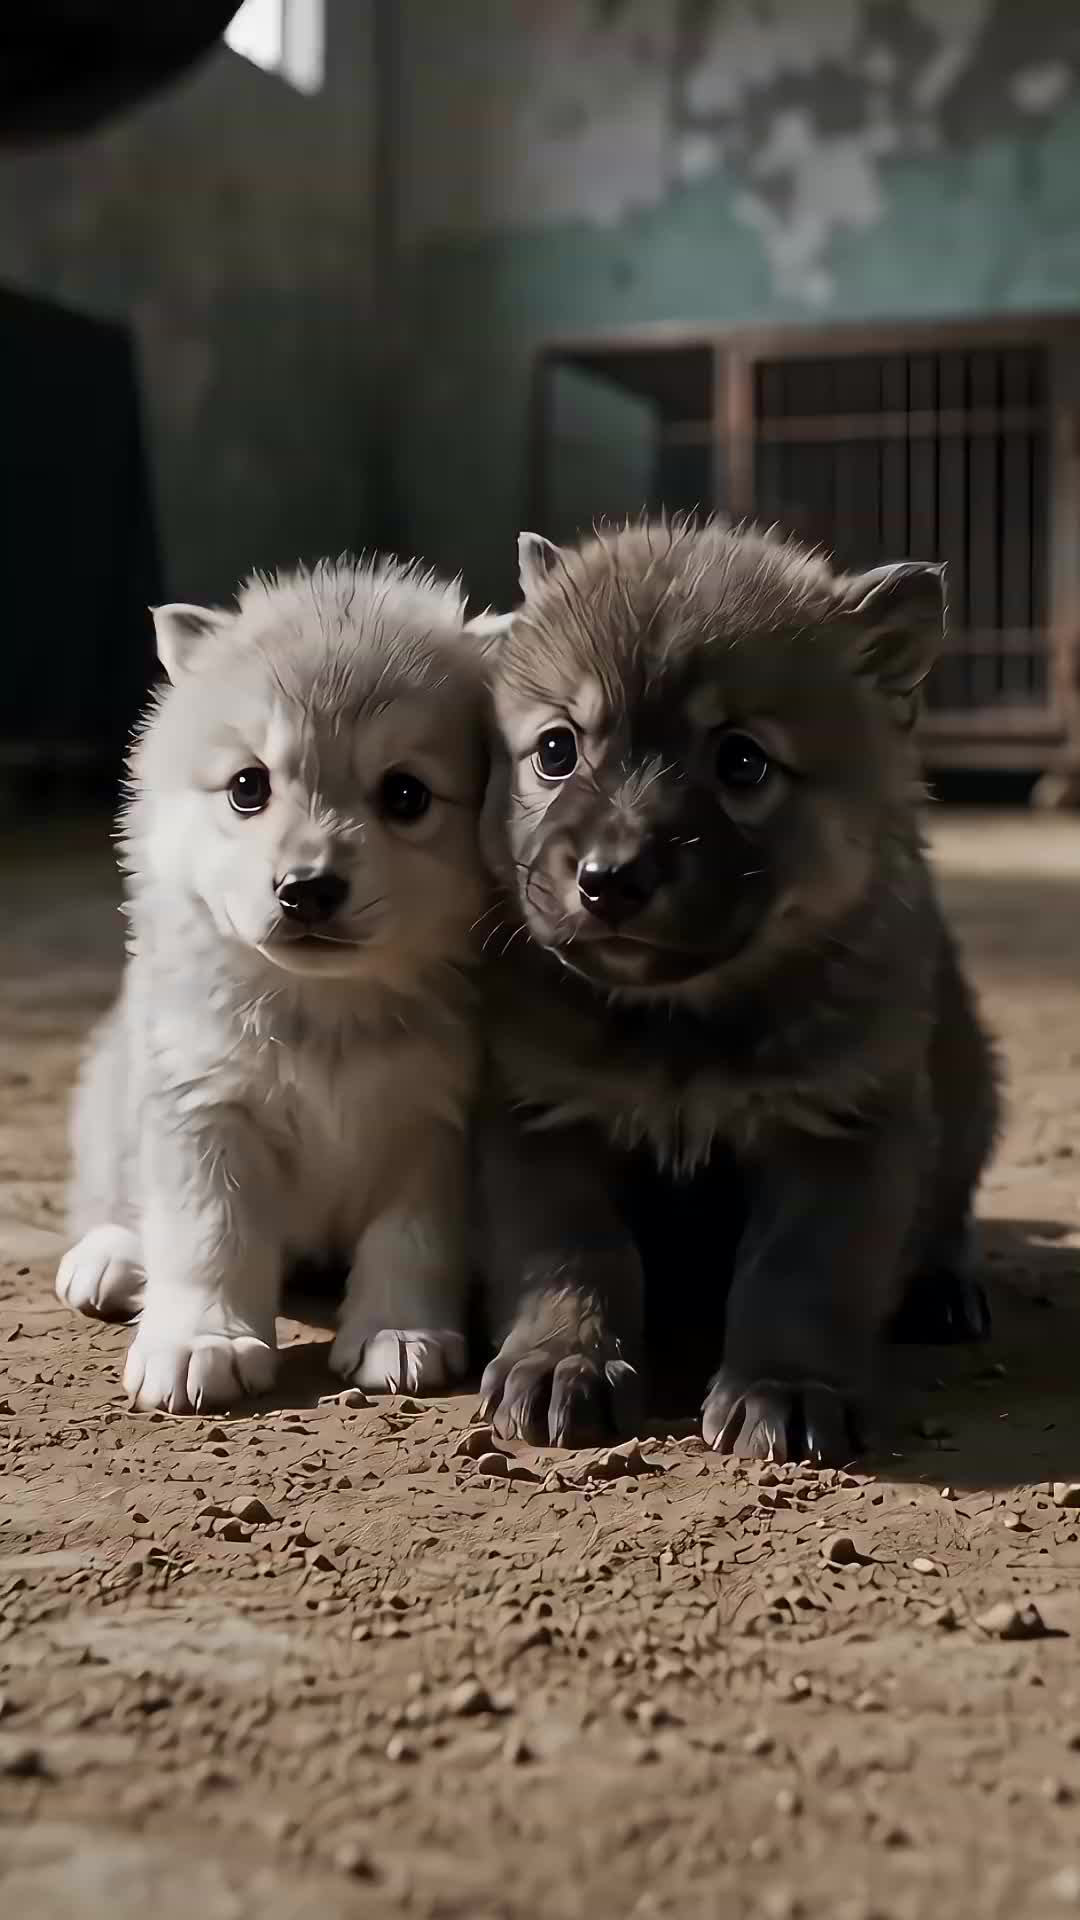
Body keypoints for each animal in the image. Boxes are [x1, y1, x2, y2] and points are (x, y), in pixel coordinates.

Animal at [57, 558, 489, 1413]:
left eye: (406, 794)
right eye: (247, 787)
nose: (307, 889)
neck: (326, 1011)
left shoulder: (440, 1125)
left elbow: (412, 1239)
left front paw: (399, 1332)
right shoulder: (202, 1105)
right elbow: (208, 1235)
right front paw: (202, 1341)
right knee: (117, 1190)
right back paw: (111, 1257)